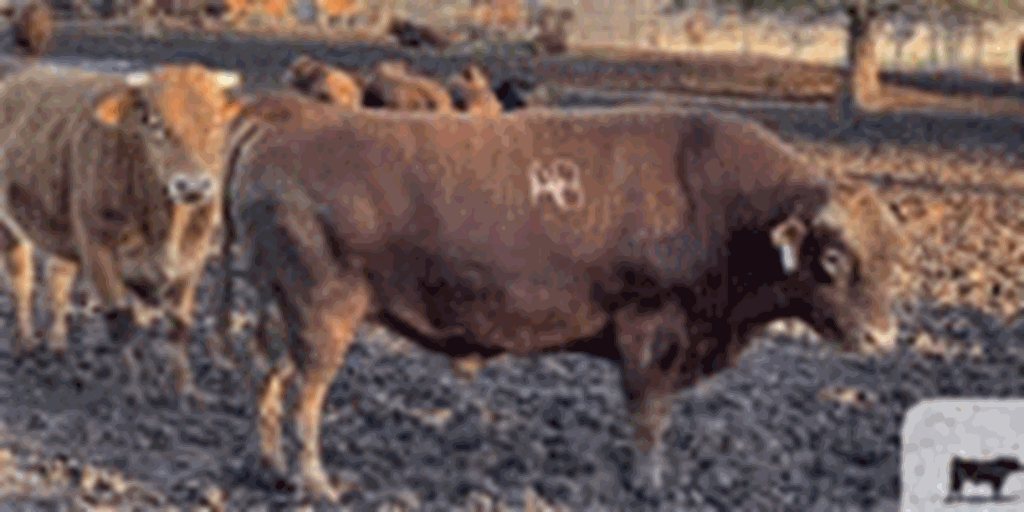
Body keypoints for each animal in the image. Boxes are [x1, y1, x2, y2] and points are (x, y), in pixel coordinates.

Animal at [0, 62, 245, 405]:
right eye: (154, 122)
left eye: (216, 123)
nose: (194, 185)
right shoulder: (97, 247)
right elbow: (121, 321)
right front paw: (133, 388)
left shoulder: (192, 258)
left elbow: (178, 325)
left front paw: (185, 388)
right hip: (9, 226)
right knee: (21, 279)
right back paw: (26, 343)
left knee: (58, 279)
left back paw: (57, 344)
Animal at [198, 104, 908, 502]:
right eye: (834, 259)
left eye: (894, 259)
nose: (881, 338)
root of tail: (284, 128)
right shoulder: (650, 328)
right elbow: (648, 413)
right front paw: (649, 484)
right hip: (323, 317)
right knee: (305, 395)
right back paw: (315, 483)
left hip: (279, 313)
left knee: (267, 379)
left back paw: (273, 470)